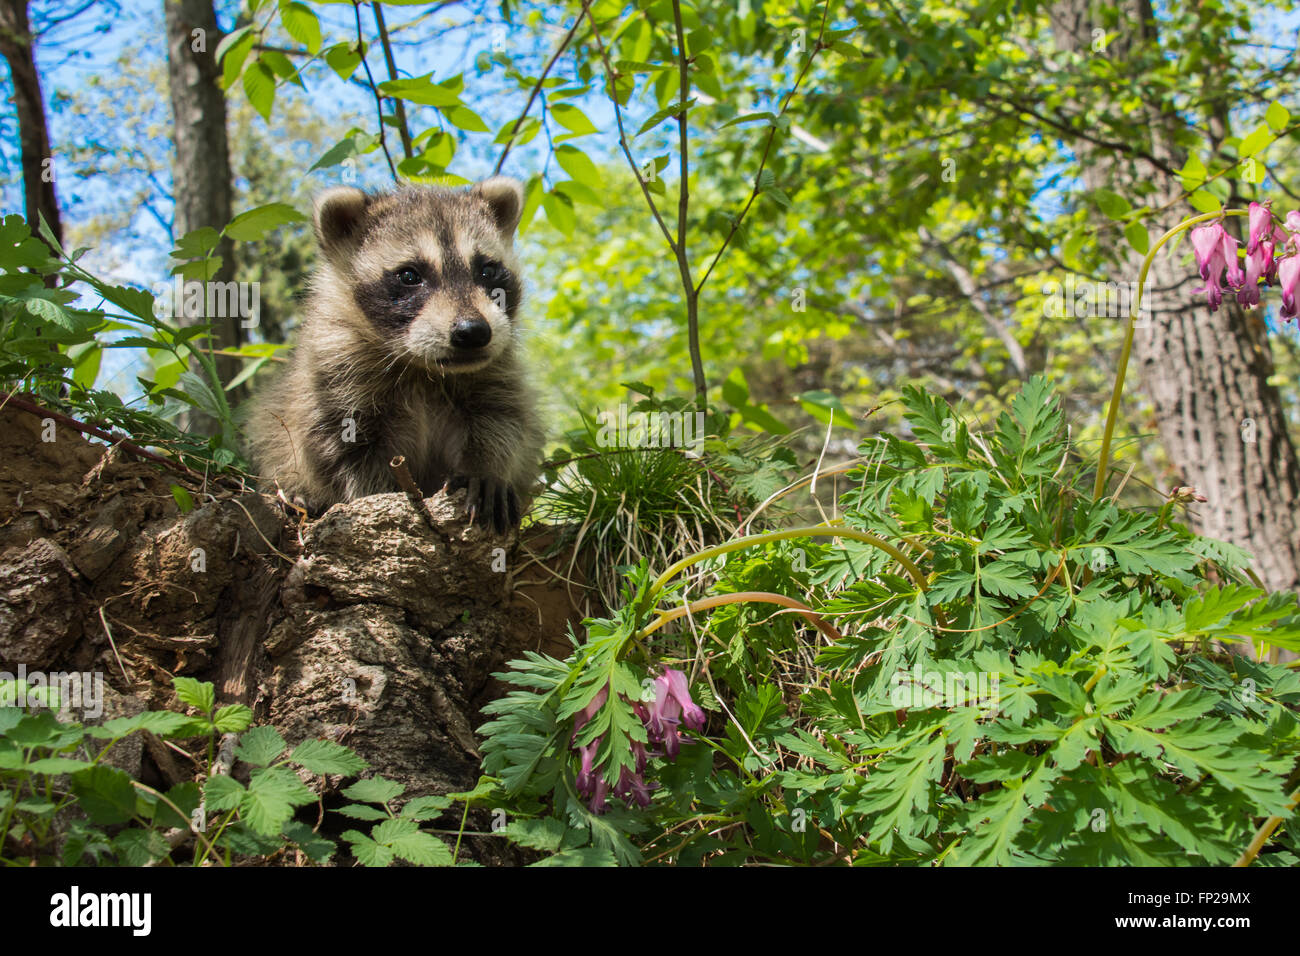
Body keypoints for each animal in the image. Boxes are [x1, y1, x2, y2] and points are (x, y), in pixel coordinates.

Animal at [246, 177, 543, 532]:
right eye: (409, 275)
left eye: (487, 270)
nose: (473, 331)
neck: (422, 368)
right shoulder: (332, 371)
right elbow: (342, 450)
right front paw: (380, 500)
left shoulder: (498, 365)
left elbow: (505, 417)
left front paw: (484, 470)